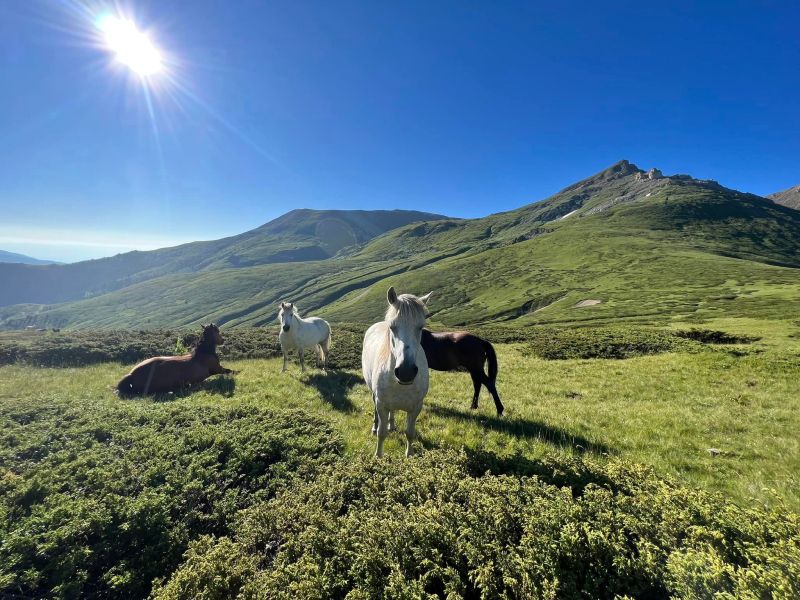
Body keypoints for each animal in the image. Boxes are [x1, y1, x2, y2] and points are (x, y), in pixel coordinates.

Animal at [362, 286, 432, 457]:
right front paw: (378, 456)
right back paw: (375, 427)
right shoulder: (381, 404)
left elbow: (410, 433)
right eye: (392, 327)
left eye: (421, 327)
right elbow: (381, 433)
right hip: (374, 396)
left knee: (392, 412)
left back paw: (392, 425)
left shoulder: (416, 407)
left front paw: (409, 454)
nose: (406, 372)